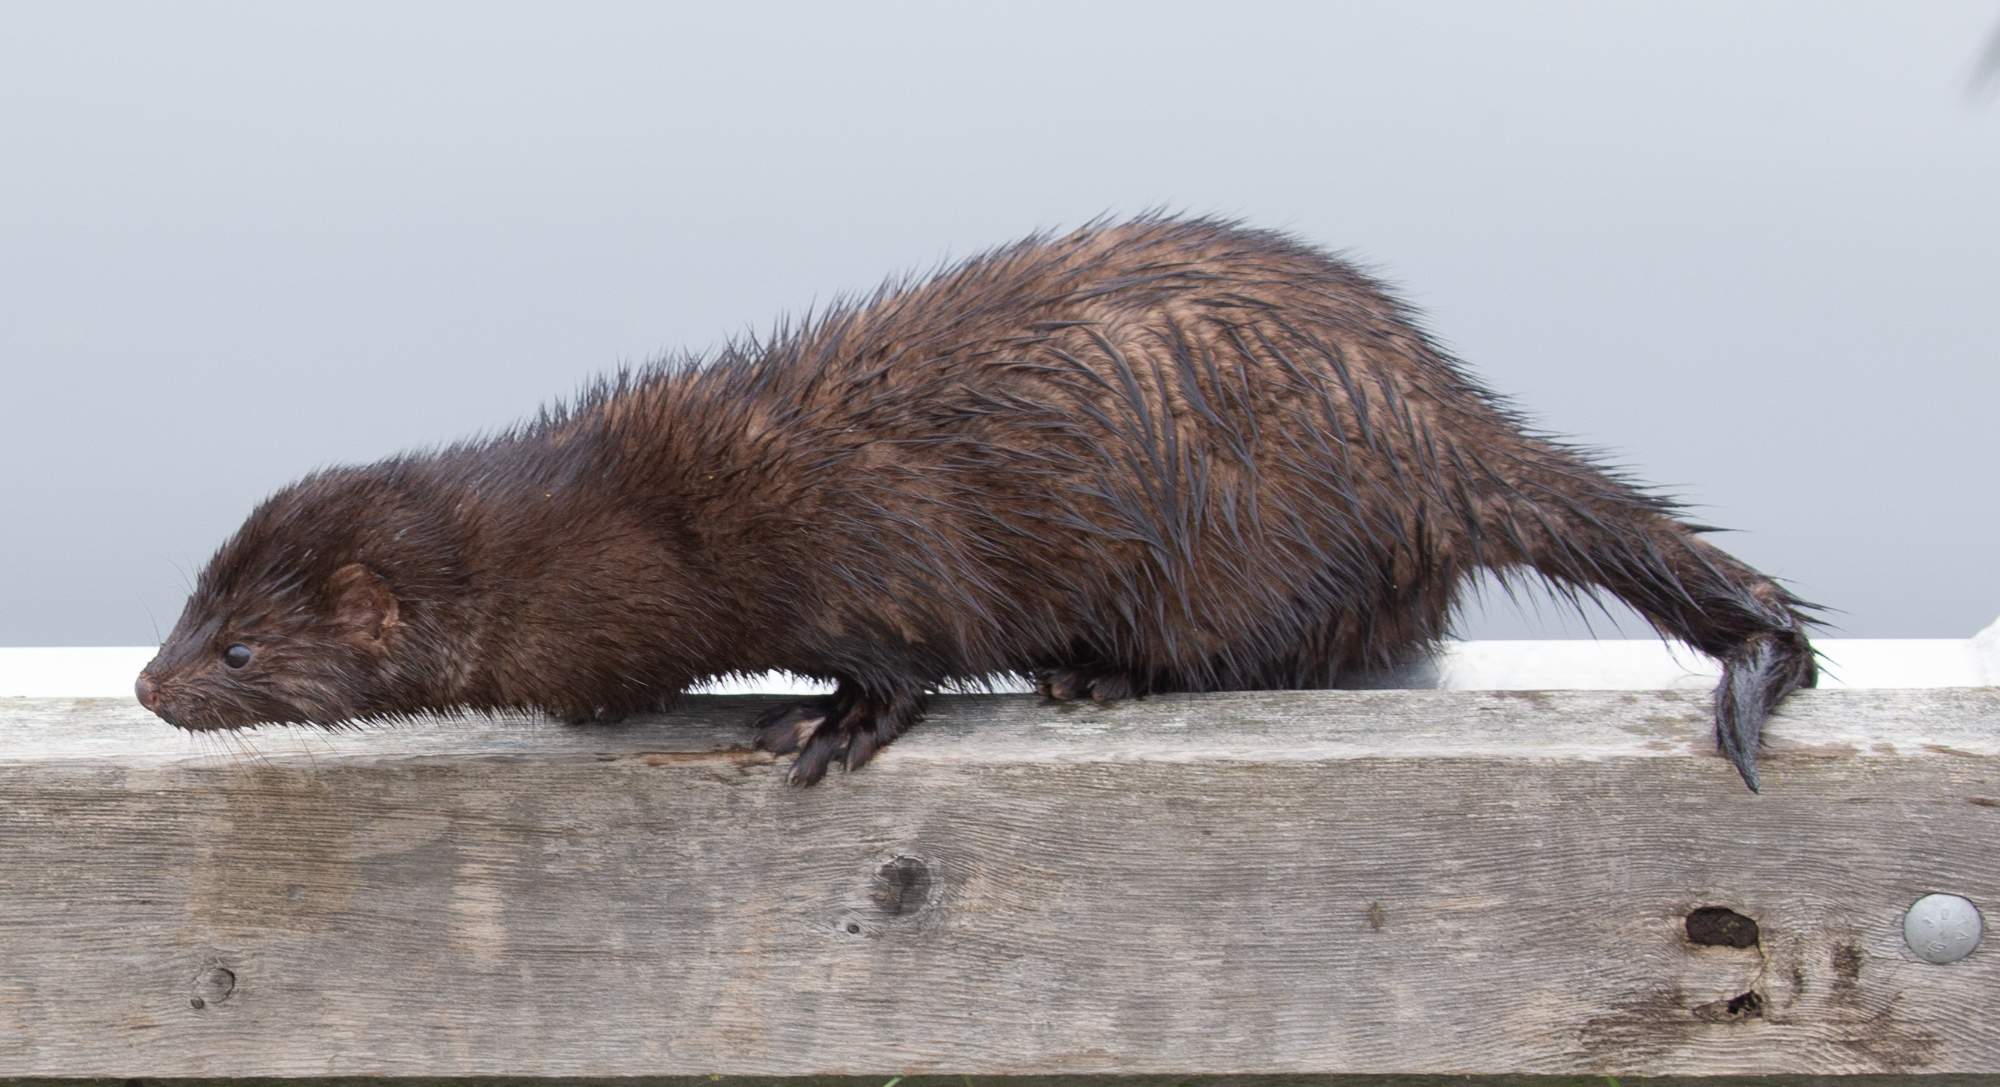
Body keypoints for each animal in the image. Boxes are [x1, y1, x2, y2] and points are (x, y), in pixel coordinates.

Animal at [136, 216, 1817, 789]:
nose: (152, 683)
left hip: (1270, 539)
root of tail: (1445, 420)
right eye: (190, 606)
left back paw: (1101, 669)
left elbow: (911, 646)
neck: (632, 518)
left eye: (240, 650)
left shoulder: (850, 531)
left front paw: (827, 723)